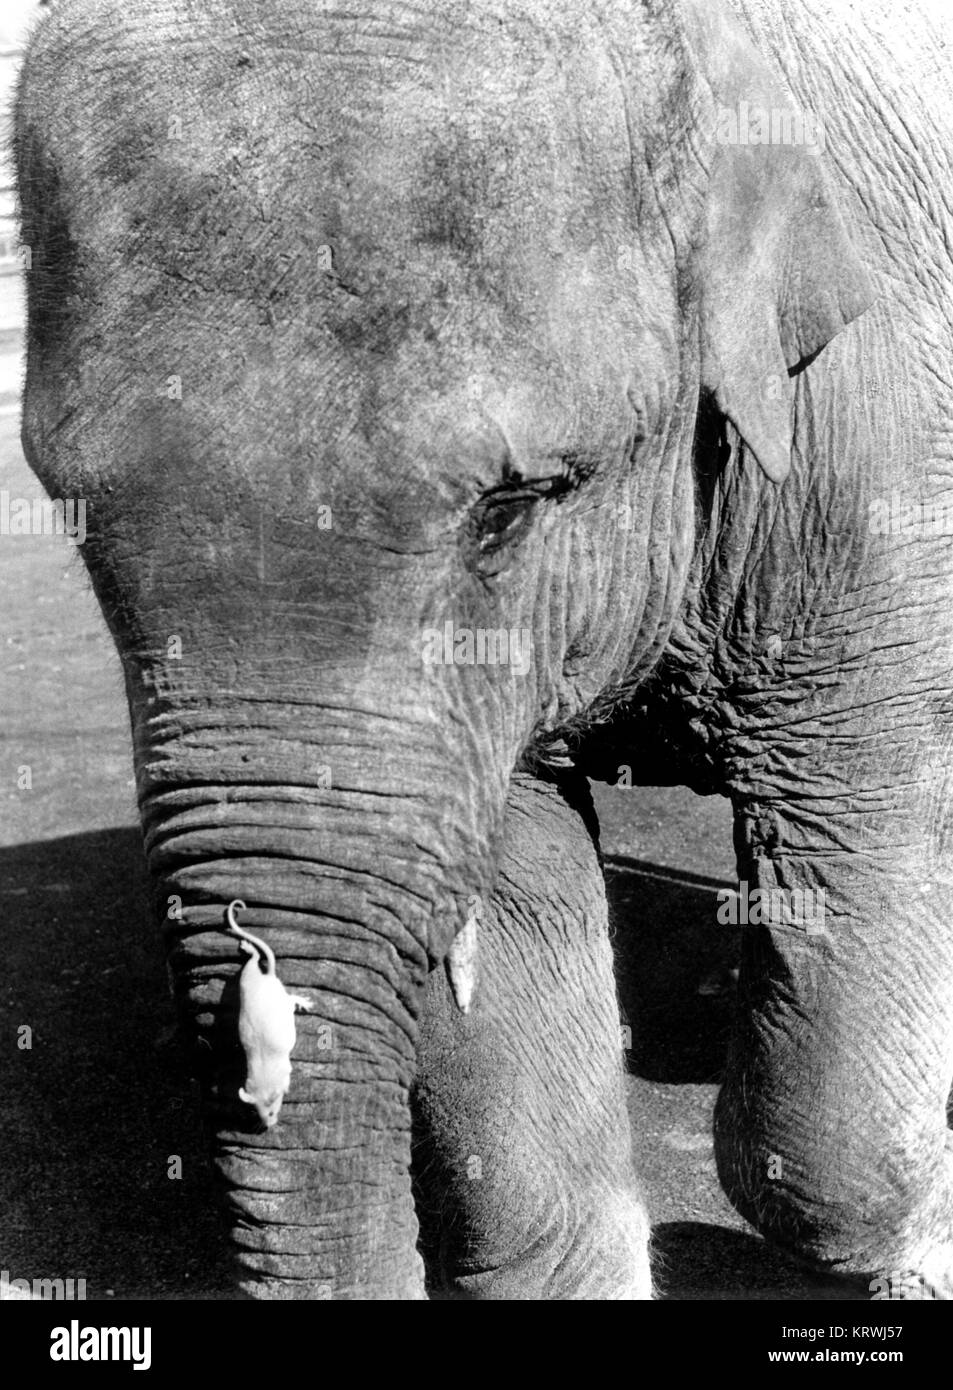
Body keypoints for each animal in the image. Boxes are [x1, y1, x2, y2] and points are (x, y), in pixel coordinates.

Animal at [14, 0, 953, 1299]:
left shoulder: (867, 454)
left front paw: (923, 1248)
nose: (257, 984)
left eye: (509, 508)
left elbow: (850, 837)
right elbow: (512, 879)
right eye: (78, 526)